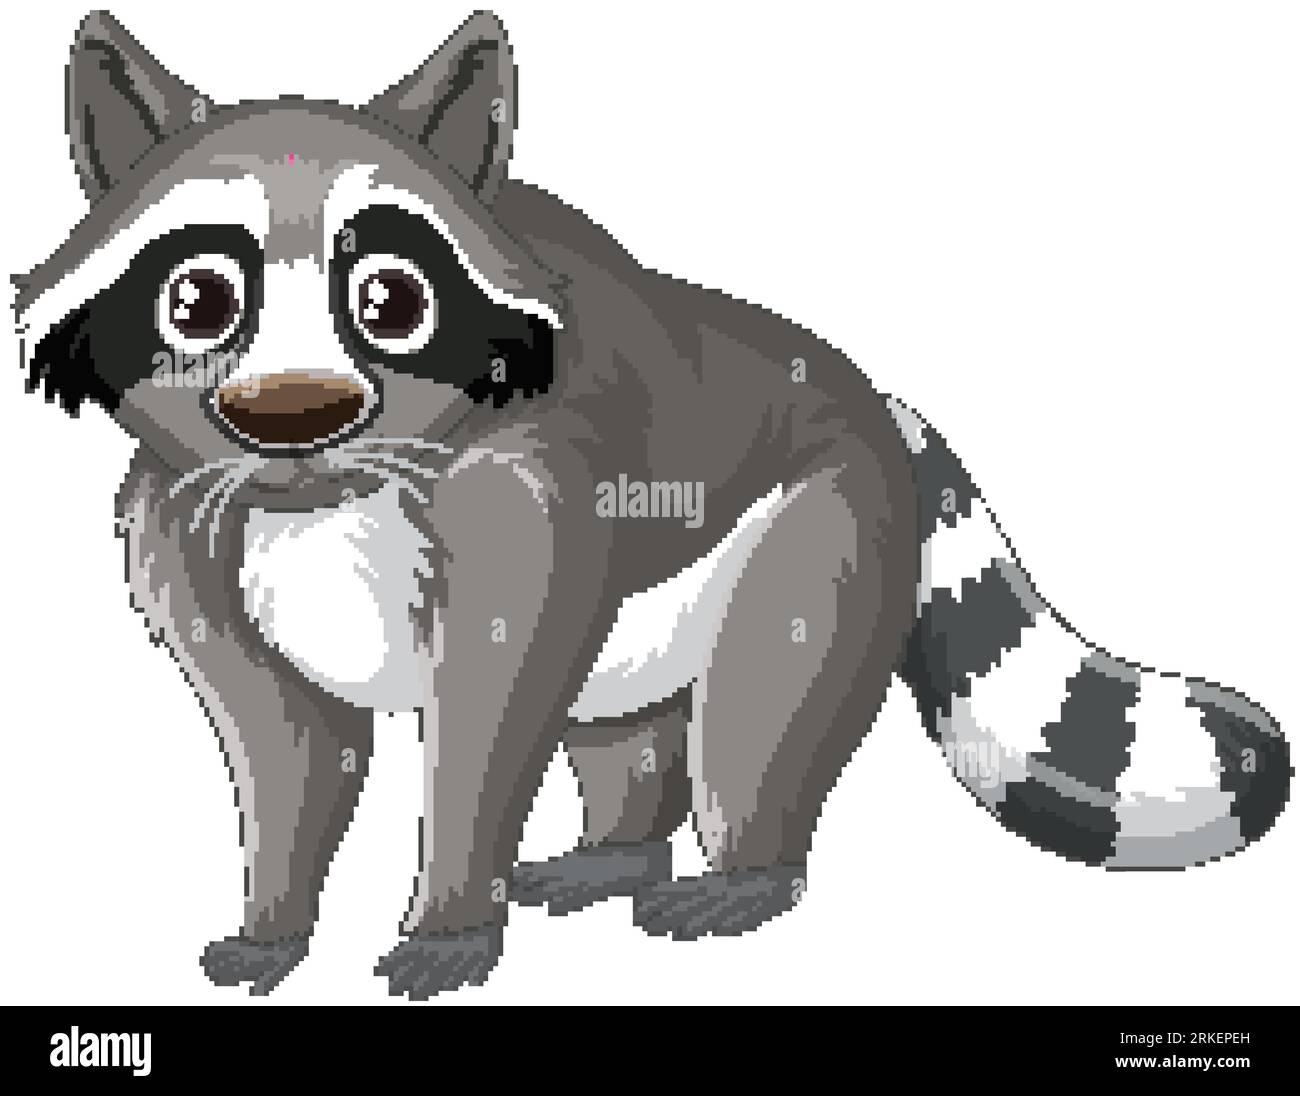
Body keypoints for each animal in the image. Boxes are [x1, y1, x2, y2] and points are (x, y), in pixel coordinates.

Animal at [14, 10, 1289, 998]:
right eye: (197, 299)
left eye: (390, 299)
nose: (293, 411)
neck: (323, 493)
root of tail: (856, 388)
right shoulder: (178, 515)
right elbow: (290, 742)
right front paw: (276, 917)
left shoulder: (519, 486)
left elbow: (488, 707)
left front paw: (451, 914)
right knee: (613, 718)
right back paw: (620, 846)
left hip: (830, 509)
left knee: (761, 695)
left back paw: (744, 868)